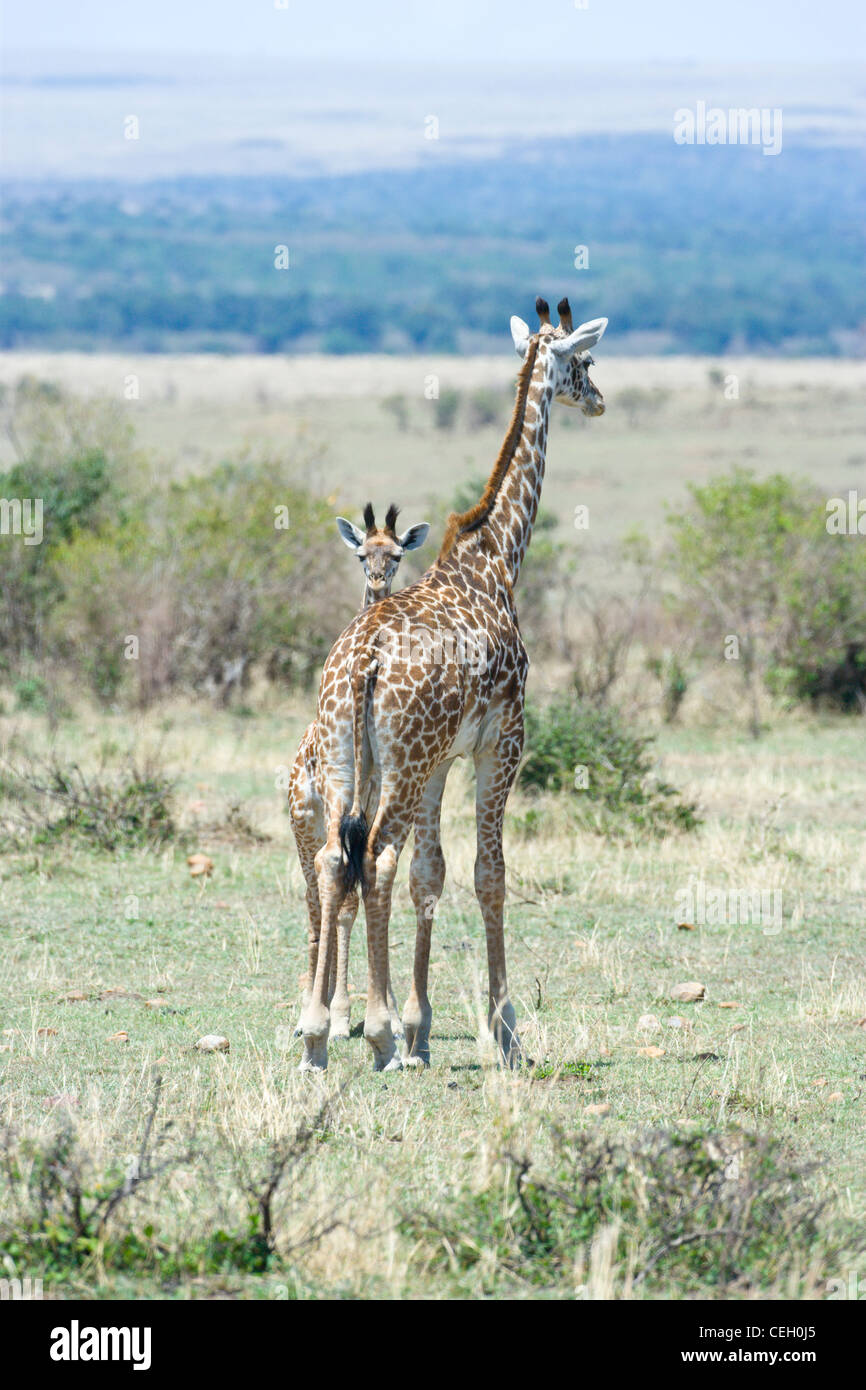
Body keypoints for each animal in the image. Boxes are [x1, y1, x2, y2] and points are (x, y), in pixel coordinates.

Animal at [289, 503, 429, 1040]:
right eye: (360, 553)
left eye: (396, 555)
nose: (377, 578)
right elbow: (344, 902)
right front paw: (345, 1013)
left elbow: (363, 895)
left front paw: (376, 1010)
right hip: (303, 827)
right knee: (315, 904)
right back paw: (312, 1009)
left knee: (338, 897)